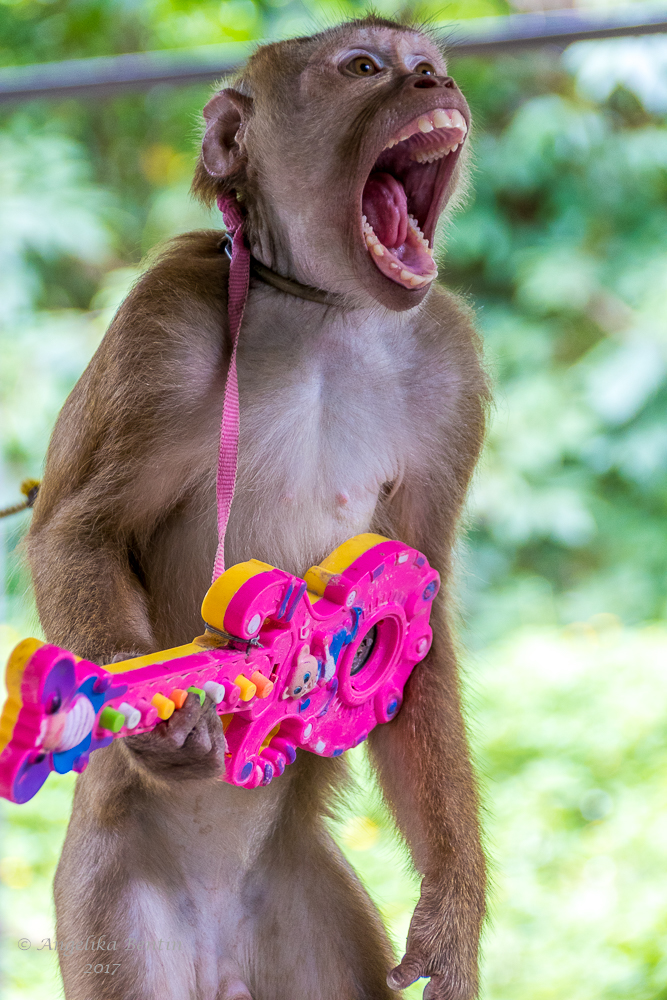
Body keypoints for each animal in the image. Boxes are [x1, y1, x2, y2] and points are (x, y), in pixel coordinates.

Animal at [26, 17, 488, 1000]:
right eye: (364, 68)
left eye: (427, 65)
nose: (432, 82)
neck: (325, 311)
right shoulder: (163, 318)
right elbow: (78, 530)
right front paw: (163, 720)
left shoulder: (451, 360)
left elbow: (421, 604)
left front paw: (451, 911)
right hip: (111, 904)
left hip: (302, 902)